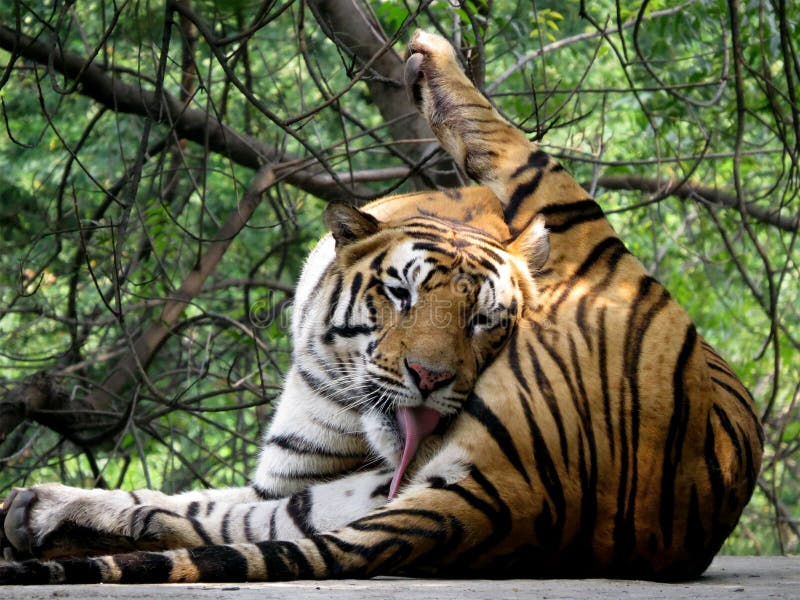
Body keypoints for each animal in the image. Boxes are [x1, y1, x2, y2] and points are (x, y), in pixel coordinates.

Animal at [0, 30, 762, 585]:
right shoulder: (311, 478)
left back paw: (433, 58)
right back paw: (39, 515)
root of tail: (528, 498)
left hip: (584, 224)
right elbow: (208, 506)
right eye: (401, 294)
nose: (432, 378)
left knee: (522, 152)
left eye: (486, 320)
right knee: (231, 523)